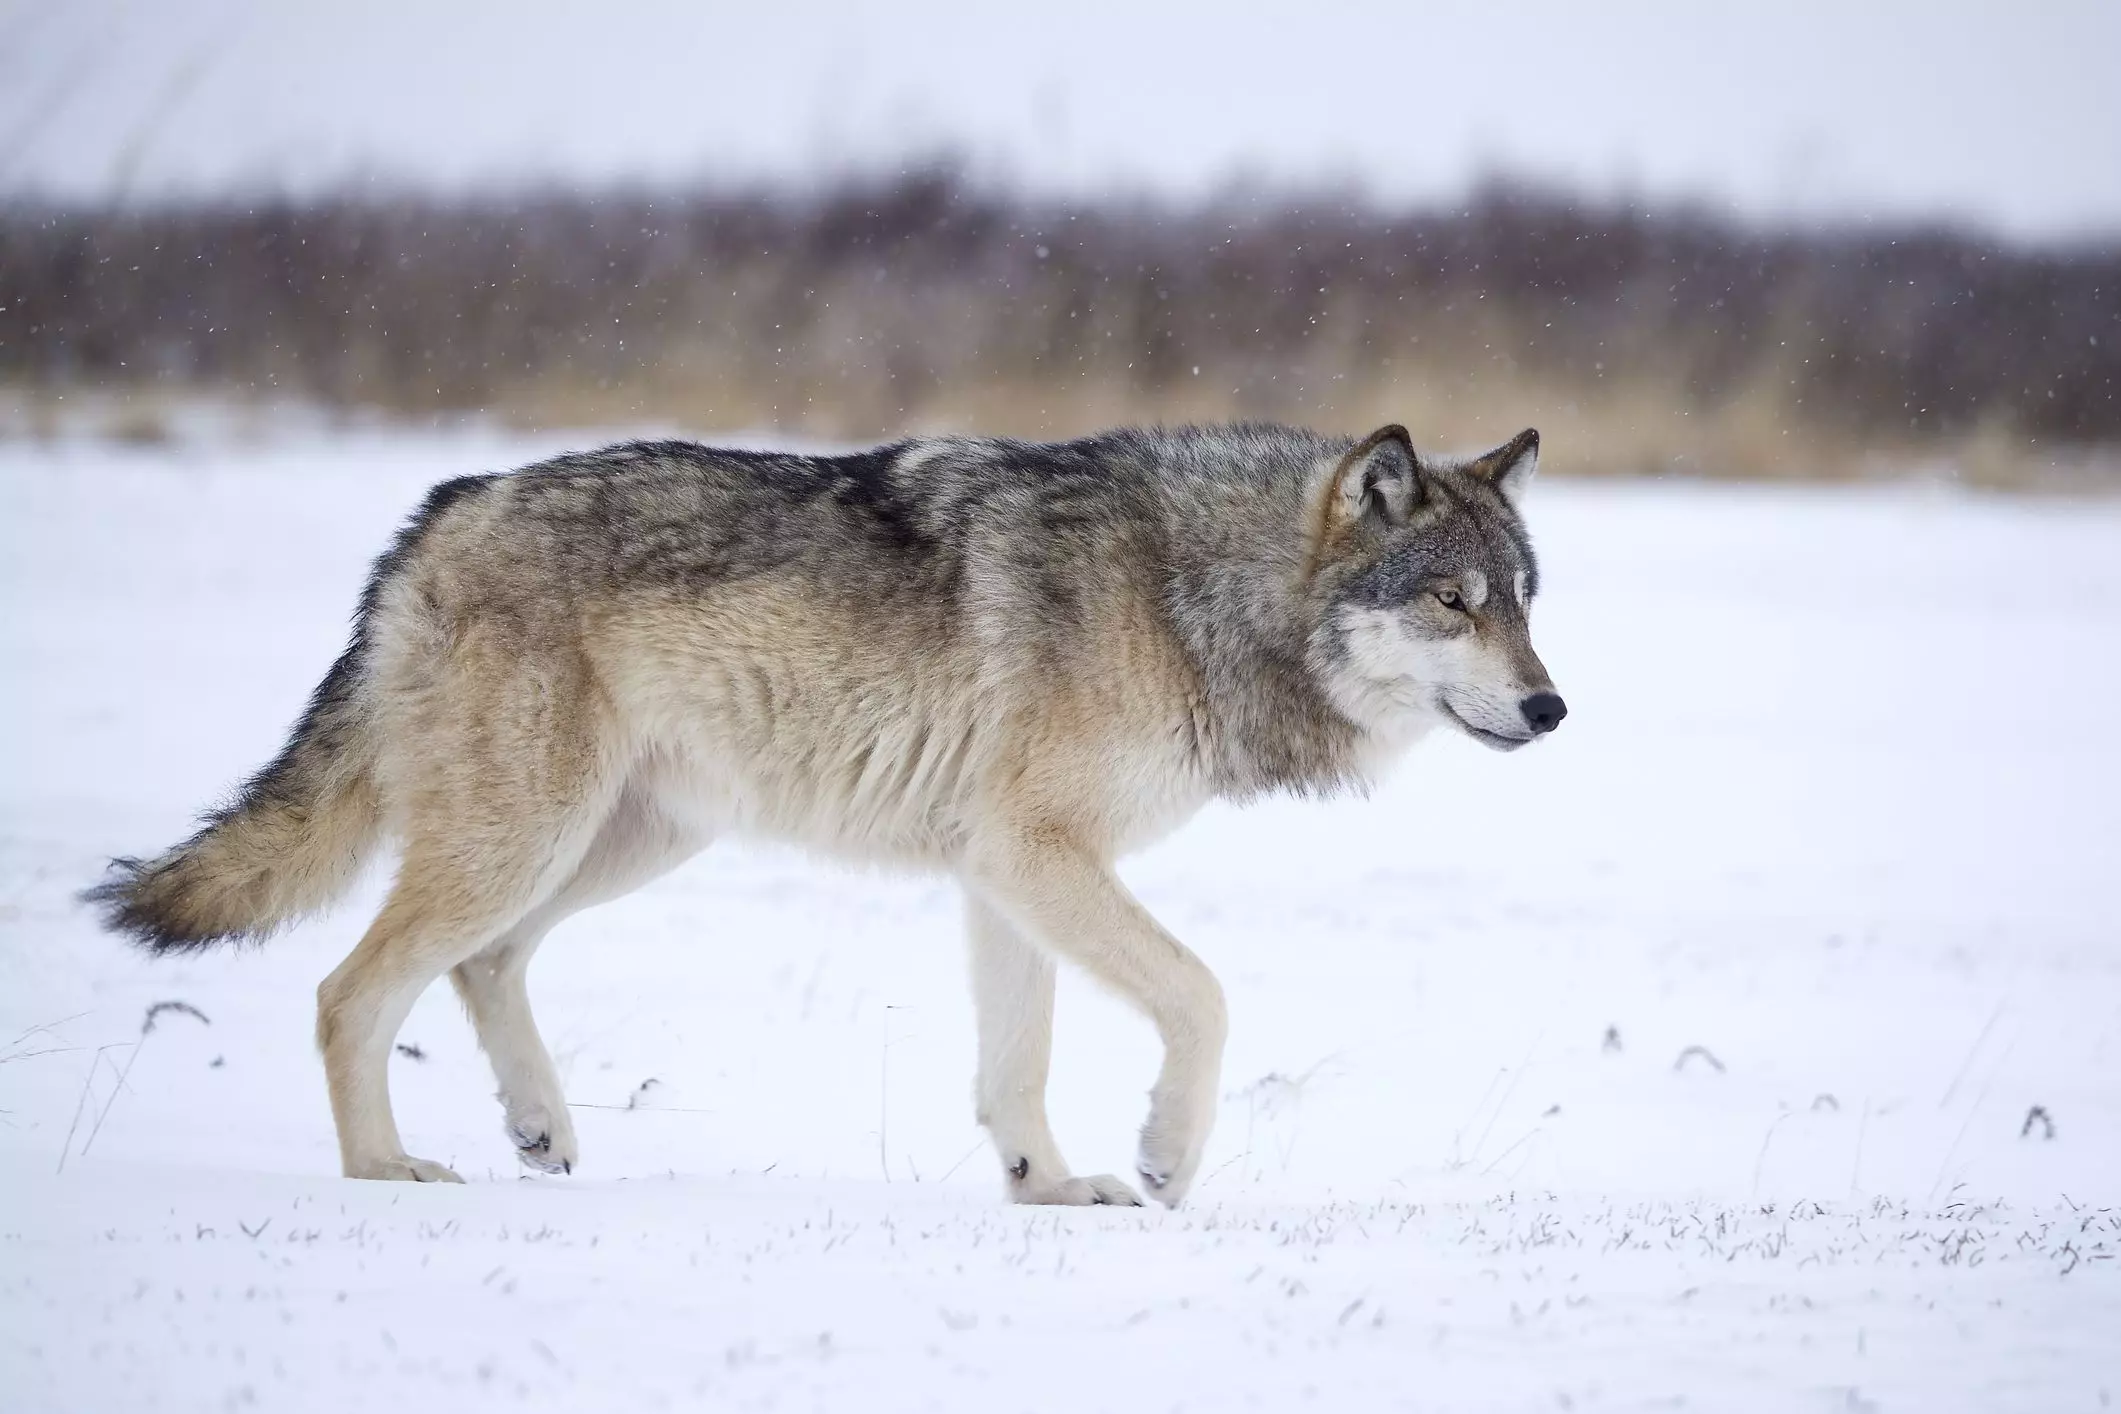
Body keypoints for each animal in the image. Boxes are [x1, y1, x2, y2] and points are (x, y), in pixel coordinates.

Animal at [82, 419, 1569, 1204]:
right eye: (1451, 601)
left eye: (1524, 597)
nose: (1554, 708)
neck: (1188, 591)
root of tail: (443, 504)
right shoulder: (1037, 854)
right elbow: (1201, 995)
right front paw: (1159, 1154)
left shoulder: (1003, 872)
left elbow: (1015, 1067)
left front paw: (1050, 1189)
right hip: (528, 838)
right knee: (348, 989)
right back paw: (385, 1170)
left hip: (619, 841)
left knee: (482, 964)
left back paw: (539, 1133)